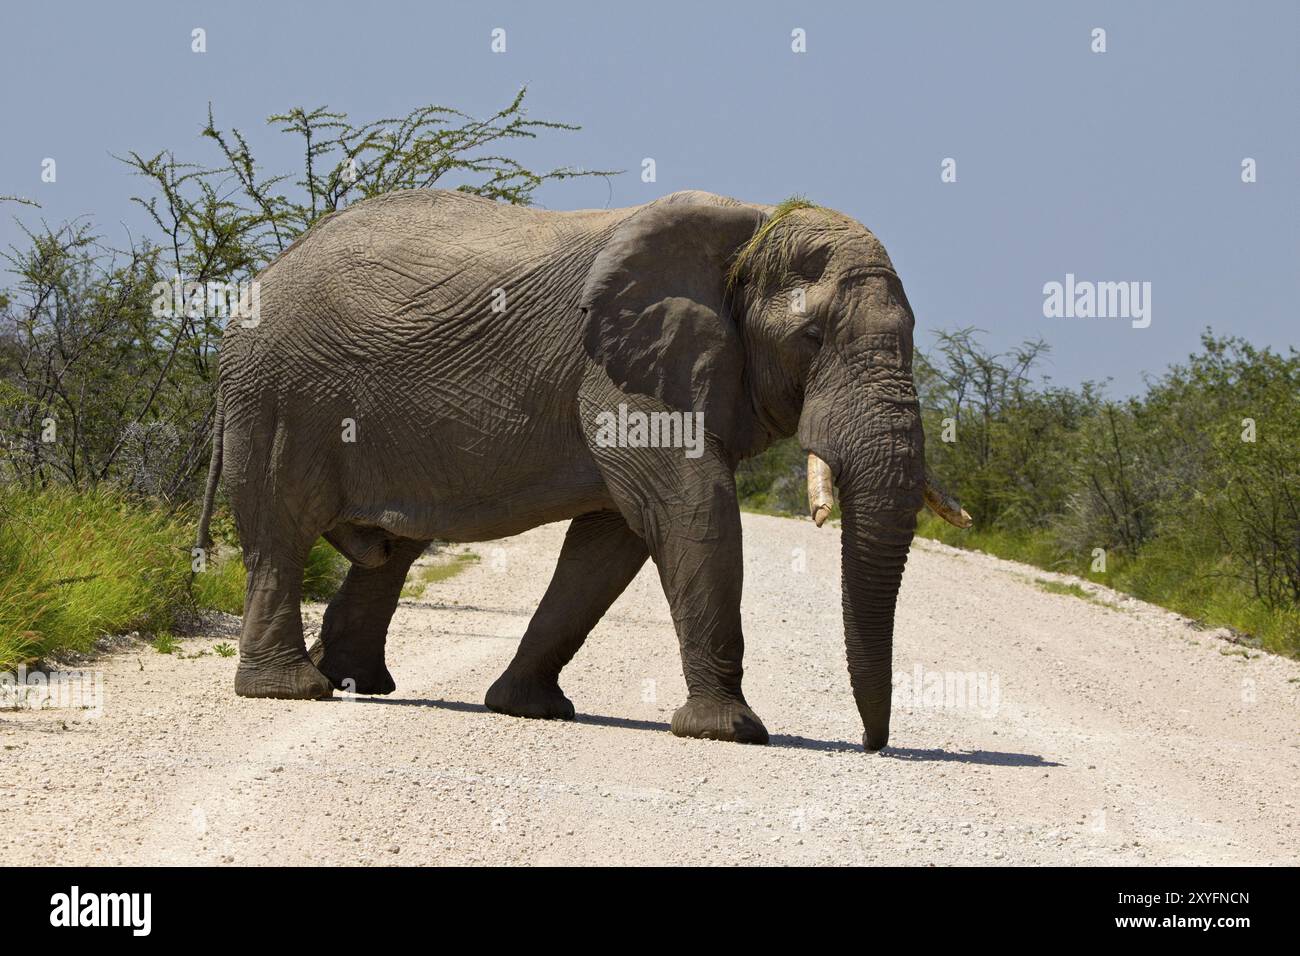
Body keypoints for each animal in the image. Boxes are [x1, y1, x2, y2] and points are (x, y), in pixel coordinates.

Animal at [195, 188, 971, 751]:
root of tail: (255, 283)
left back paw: (357, 682)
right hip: (279, 394)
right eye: (810, 338)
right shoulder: (626, 372)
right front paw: (730, 734)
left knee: (392, 548)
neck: (750, 234)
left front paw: (527, 709)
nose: (873, 745)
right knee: (283, 532)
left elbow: (609, 543)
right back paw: (293, 690)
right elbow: (690, 511)